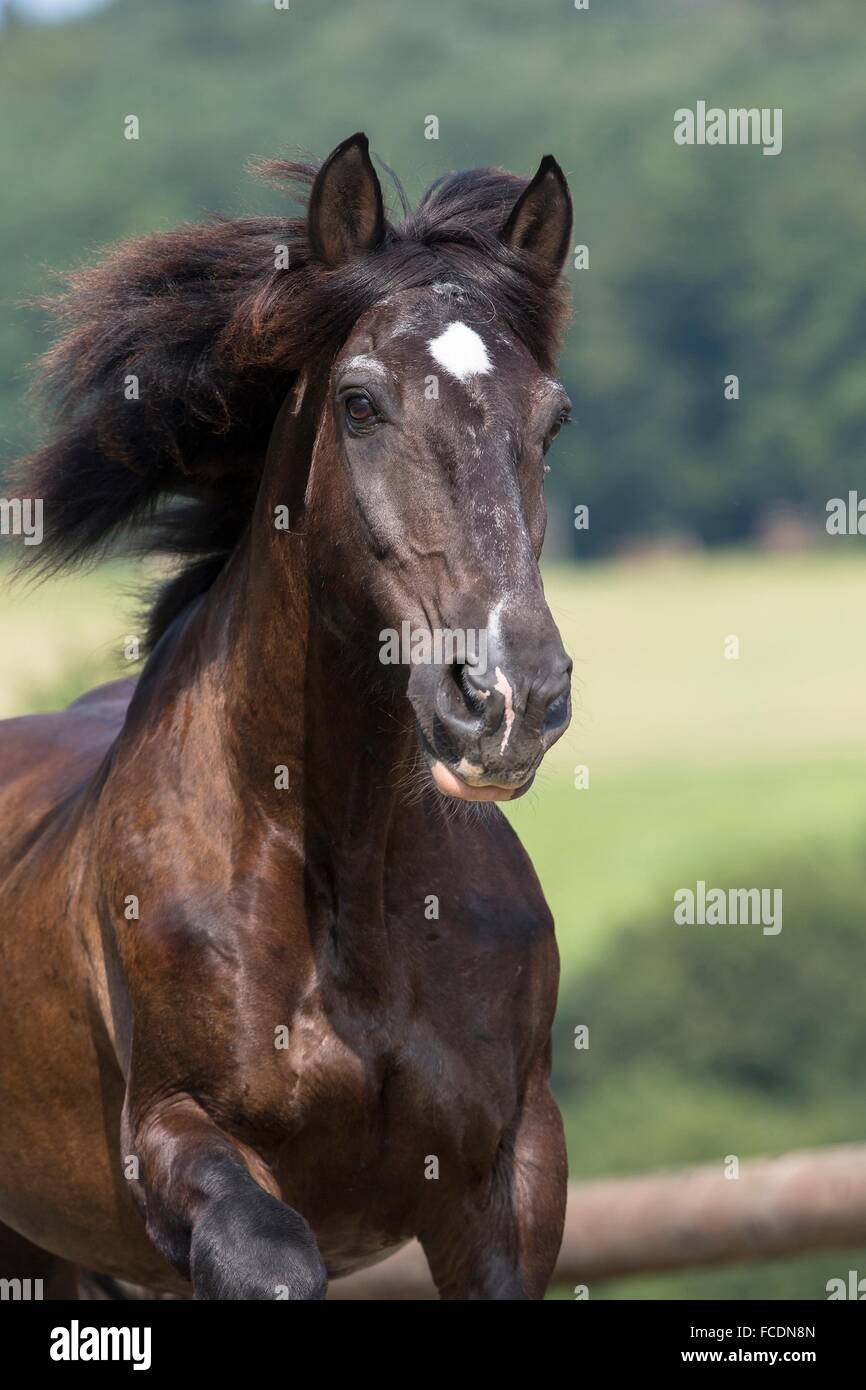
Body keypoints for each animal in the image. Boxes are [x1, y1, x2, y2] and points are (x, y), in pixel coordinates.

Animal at [0, 133, 575, 1300]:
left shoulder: (508, 1174)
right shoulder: (177, 1137)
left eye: (554, 415)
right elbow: (270, 1261)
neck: (341, 877)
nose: (507, 699)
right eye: (359, 401)